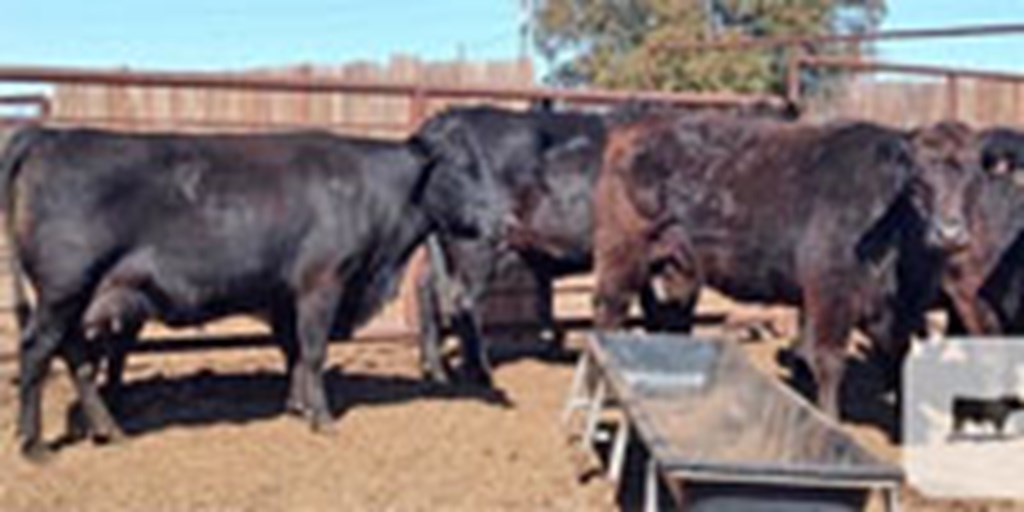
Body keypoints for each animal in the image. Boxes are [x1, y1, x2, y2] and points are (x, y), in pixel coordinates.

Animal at [0, 122, 508, 461]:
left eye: (485, 166)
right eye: (461, 169)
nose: (506, 220)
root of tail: (49, 135)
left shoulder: (285, 294)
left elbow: (294, 351)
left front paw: (297, 406)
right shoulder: (322, 282)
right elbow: (313, 351)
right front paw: (322, 419)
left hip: (77, 298)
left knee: (75, 356)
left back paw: (110, 430)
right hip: (64, 291)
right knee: (36, 352)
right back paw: (34, 444)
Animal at [593, 114, 978, 418]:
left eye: (973, 176)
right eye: (917, 179)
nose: (950, 233)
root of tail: (635, 129)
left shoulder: (903, 313)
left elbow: (898, 361)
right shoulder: (830, 294)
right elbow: (828, 360)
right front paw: (829, 420)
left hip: (674, 269)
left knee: (665, 318)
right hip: (622, 257)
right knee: (609, 312)